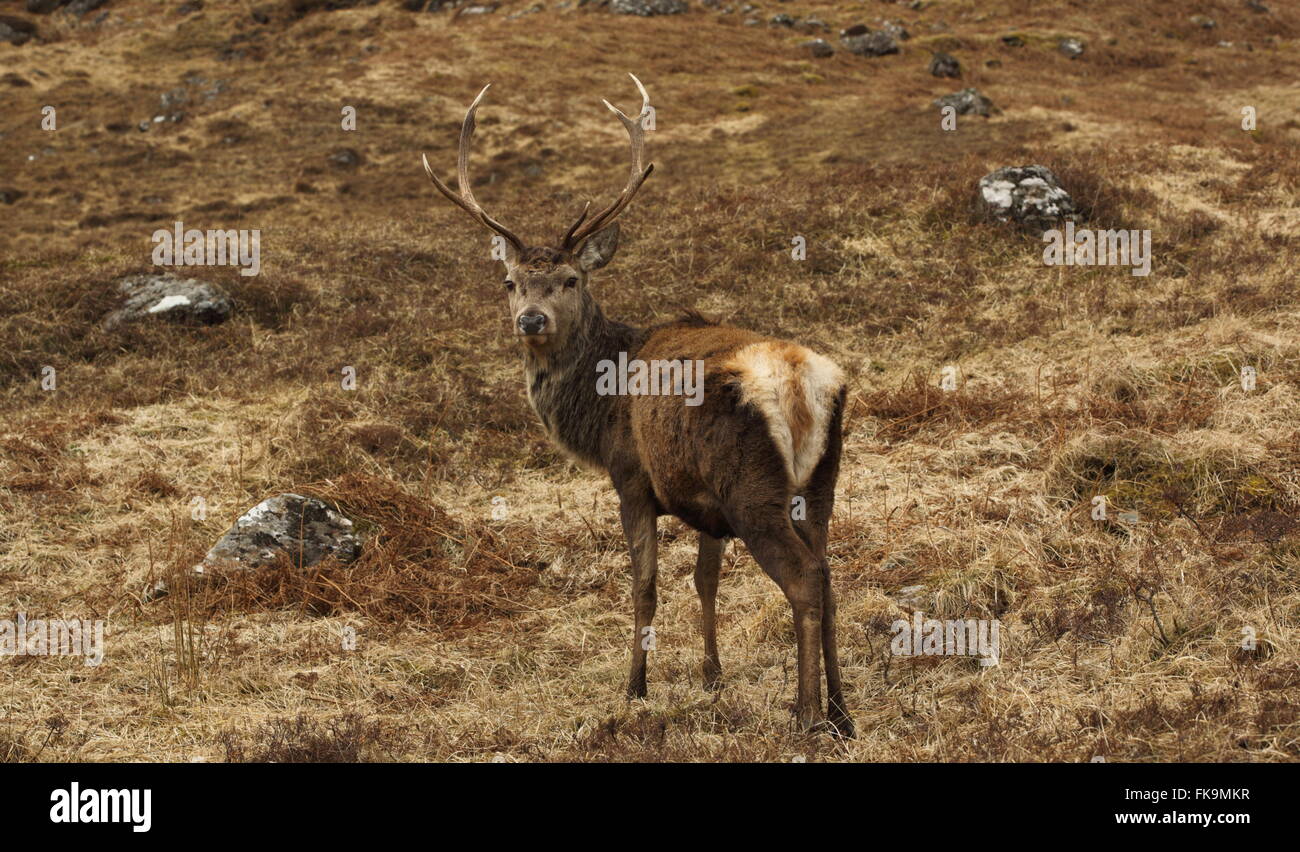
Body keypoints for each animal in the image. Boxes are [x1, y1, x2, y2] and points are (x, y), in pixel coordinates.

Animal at [422, 75, 853, 736]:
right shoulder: (704, 503)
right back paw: (842, 711)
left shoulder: (631, 476)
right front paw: (711, 678)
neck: (599, 407)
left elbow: (645, 585)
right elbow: (705, 581)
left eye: (571, 280)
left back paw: (805, 716)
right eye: (510, 282)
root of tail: (807, 388)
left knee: (805, 578)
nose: (531, 320)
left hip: (754, 489)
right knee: (829, 575)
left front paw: (635, 689)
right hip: (821, 484)